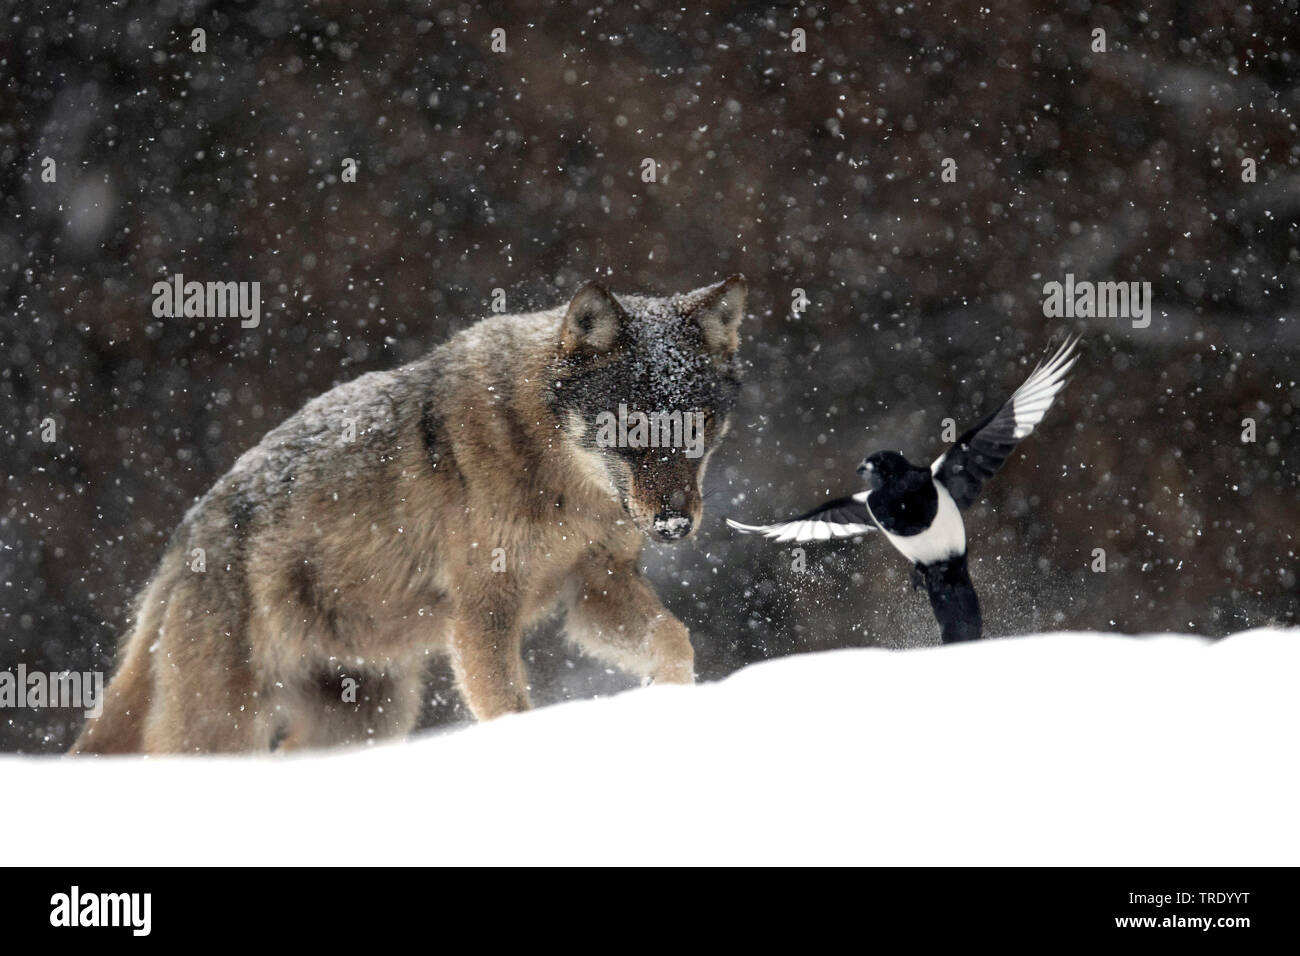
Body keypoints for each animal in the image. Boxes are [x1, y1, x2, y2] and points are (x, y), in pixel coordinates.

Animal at [71, 276, 747, 753]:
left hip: (371, 713)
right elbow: (508, 706)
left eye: (695, 429)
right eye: (629, 428)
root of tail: (187, 531)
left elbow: (675, 640)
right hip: (226, 723)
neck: (563, 486)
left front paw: (669, 703)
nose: (674, 526)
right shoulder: (481, 613)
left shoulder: (596, 587)